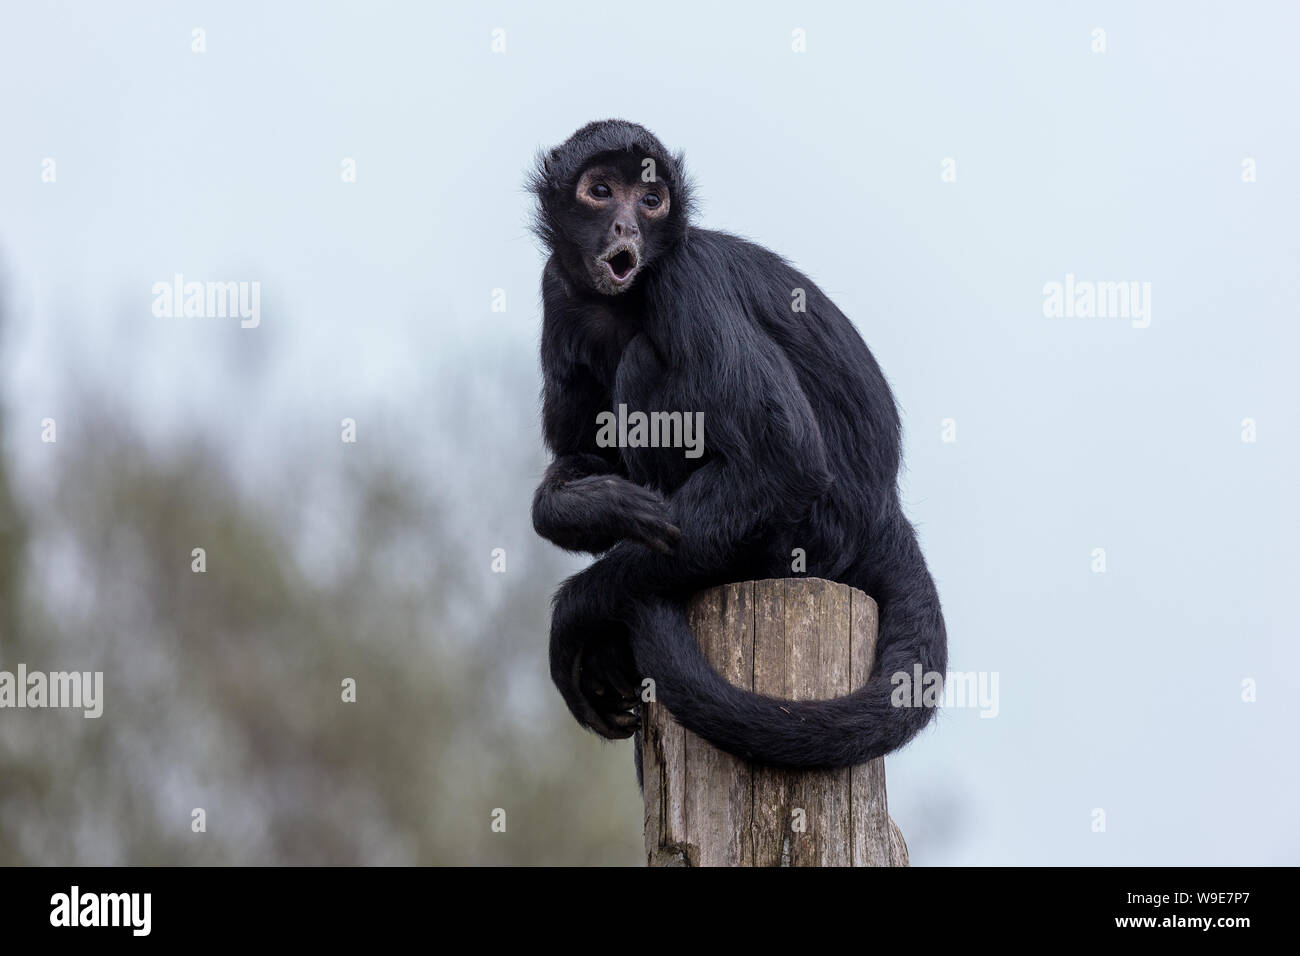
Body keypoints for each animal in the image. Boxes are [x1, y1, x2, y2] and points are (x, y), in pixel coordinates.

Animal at [528, 120, 947, 771]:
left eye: (651, 200)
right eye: (601, 191)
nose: (626, 228)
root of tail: (883, 510)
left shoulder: (686, 274)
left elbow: (787, 460)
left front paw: (574, 610)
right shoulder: (557, 287)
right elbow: (581, 464)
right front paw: (590, 507)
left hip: (811, 532)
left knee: (645, 359)